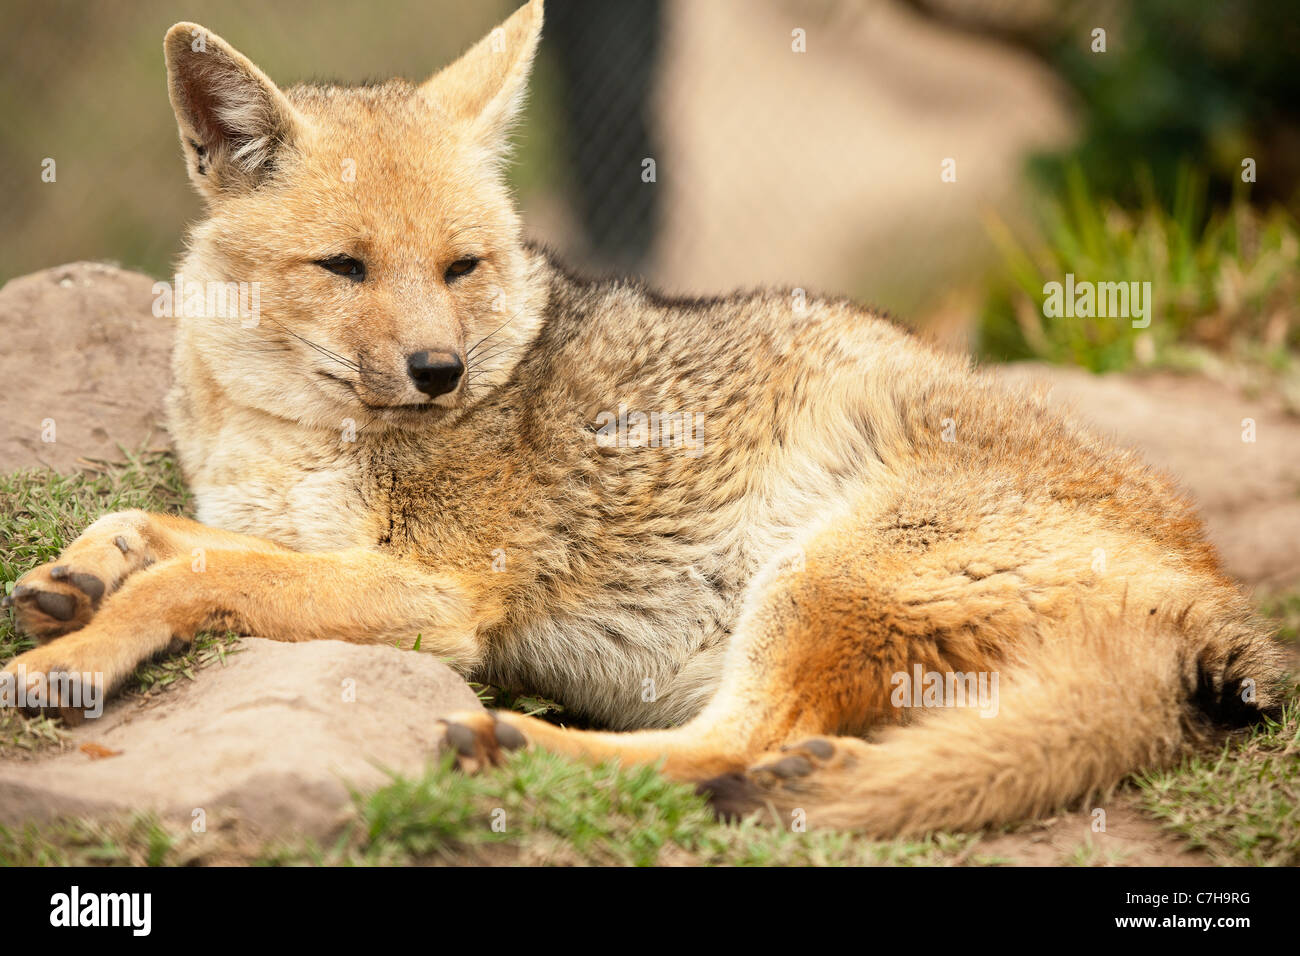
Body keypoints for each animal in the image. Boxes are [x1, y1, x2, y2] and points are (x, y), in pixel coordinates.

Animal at [1, 0, 1289, 835]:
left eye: (462, 266)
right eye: (345, 266)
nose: (438, 371)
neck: (288, 429)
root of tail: (1208, 600)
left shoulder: (435, 597)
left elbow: (191, 576)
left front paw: (72, 654)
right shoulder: (298, 534)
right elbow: (161, 532)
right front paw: (74, 575)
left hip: (813, 578)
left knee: (737, 745)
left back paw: (517, 744)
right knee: (760, 747)